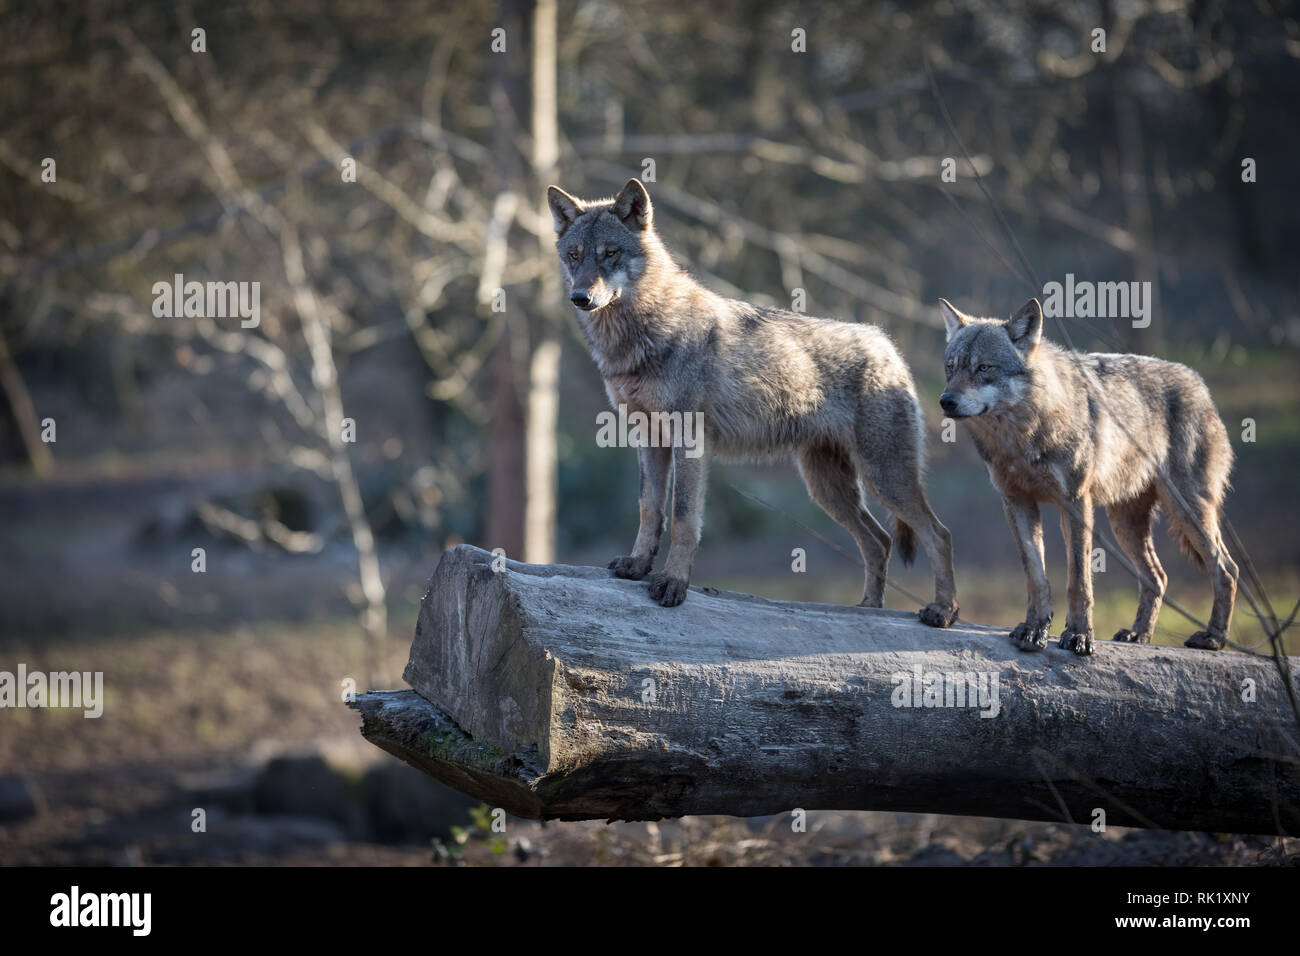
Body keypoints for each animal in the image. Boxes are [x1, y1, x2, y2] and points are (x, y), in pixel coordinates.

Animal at [547, 178, 959, 627]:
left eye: (610, 253)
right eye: (574, 255)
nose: (580, 297)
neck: (638, 337)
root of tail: (887, 346)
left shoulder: (689, 440)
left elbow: (684, 518)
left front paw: (673, 583)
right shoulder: (648, 437)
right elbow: (649, 509)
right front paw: (638, 566)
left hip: (884, 478)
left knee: (939, 534)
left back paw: (943, 611)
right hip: (828, 489)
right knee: (880, 541)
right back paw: (867, 609)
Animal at [938, 296, 1238, 655]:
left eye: (984, 368)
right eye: (951, 368)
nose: (945, 401)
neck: (1023, 435)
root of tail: (1198, 382)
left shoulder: (1075, 503)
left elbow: (1078, 581)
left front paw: (1079, 636)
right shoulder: (1017, 503)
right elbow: (1035, 576)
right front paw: (1034, 629)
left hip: (1187, 512)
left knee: (1227, 570)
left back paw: (1213, 638)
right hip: (1126, 524)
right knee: (1158, 577)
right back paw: (1139, 635)